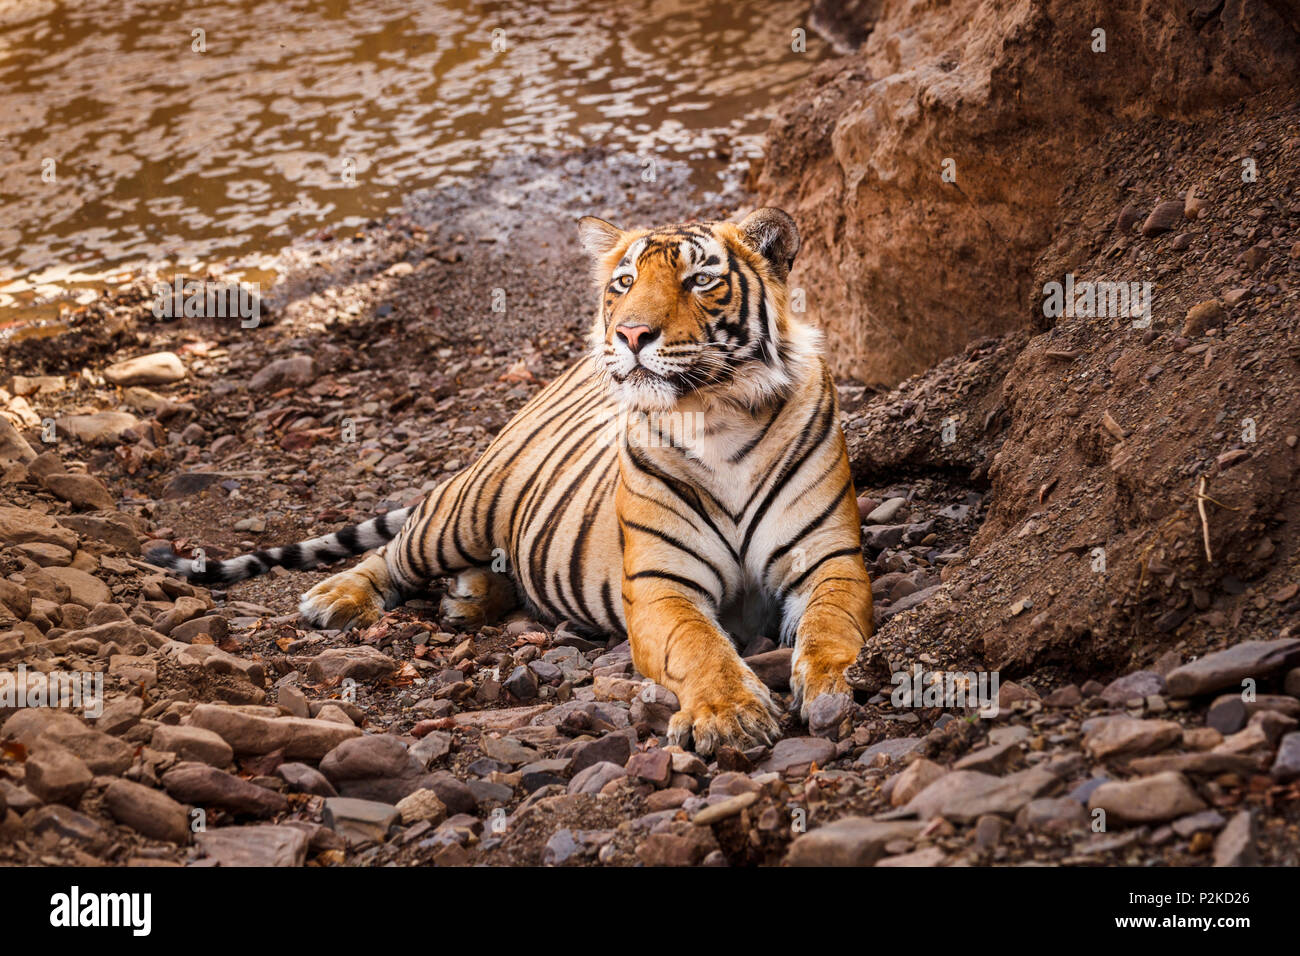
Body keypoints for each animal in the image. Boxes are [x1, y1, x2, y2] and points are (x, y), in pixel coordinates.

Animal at [147, 208, 873, 754]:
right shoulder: (661, 586)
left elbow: (832, 623)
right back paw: (337, 596)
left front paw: (836, 681)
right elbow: (700, 649)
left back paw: (469, 598)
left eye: (699, 280)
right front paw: (729, 716)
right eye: (624, 280)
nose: (631, 333)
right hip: (463, 511)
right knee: (393, 552)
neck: (714, 418)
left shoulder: (830, 558)